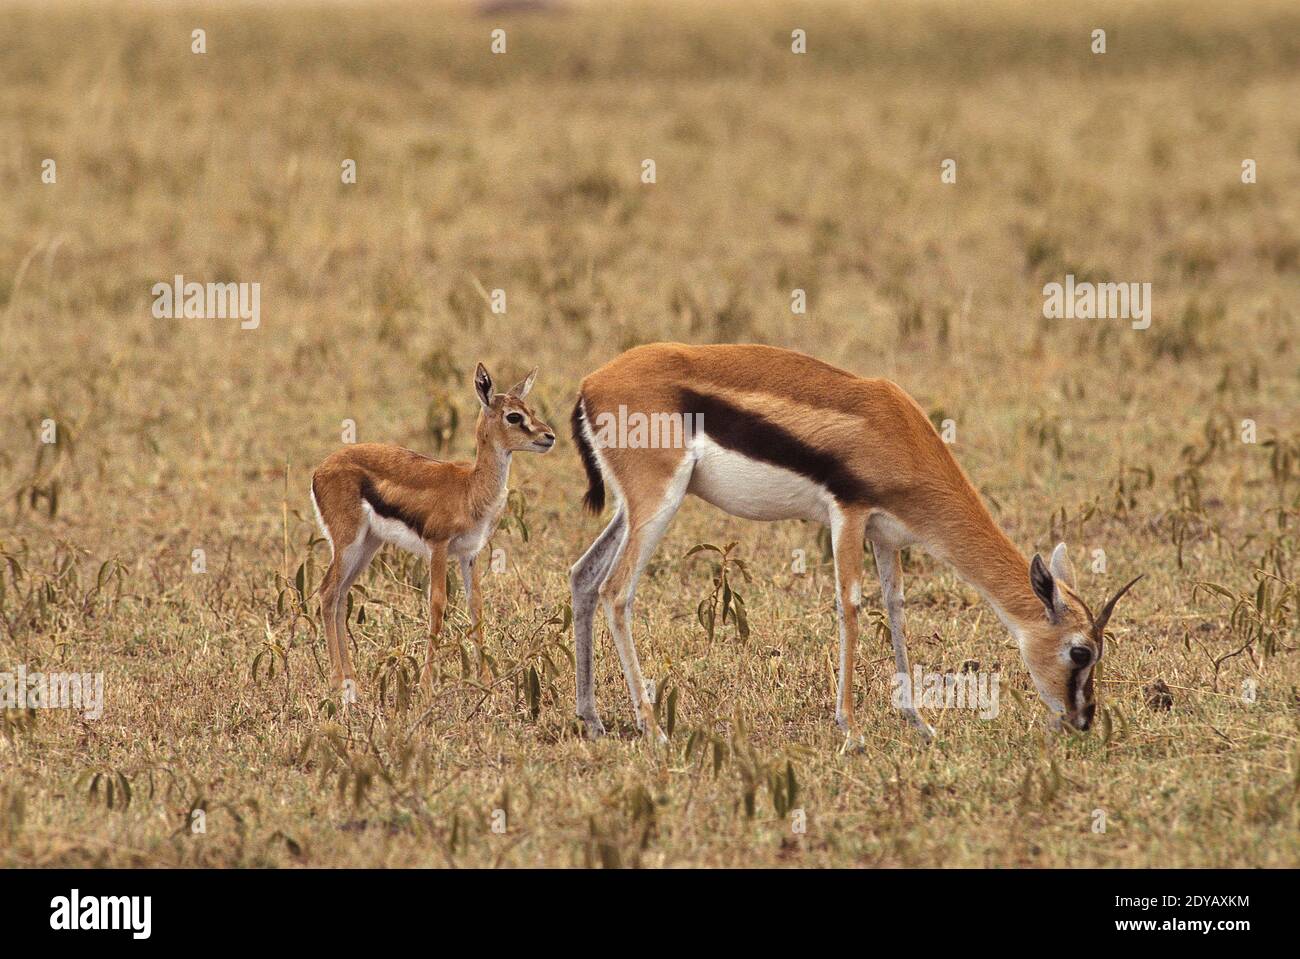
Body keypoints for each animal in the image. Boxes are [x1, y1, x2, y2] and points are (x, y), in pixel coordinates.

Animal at [311, 364, 555, 695]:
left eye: (532, 410)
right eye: (514, 416)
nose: (549, 436)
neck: (469, 488)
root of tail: (319, 470)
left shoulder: (469, 554)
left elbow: (476, 605)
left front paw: (486, 684)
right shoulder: (437, 548)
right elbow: (437, 605)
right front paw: (425, 686)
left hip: (367, 546)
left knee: (340, 596)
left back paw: (354, 685)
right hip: (347, 544)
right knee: (327, 593)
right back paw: (340, 686)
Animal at [568, 343, 1140, 741]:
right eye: (1080, 651)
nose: (1082, 720)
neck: (898, 432)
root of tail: (591, 383)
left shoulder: (885, 535)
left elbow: (897, 606)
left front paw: (918, 722)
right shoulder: (847, 515)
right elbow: (850, 607)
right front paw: (851, 728)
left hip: (632, 509)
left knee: (584, 576)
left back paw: (592, 720)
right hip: (659, 501)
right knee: (617, 593)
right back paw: (654, 730)